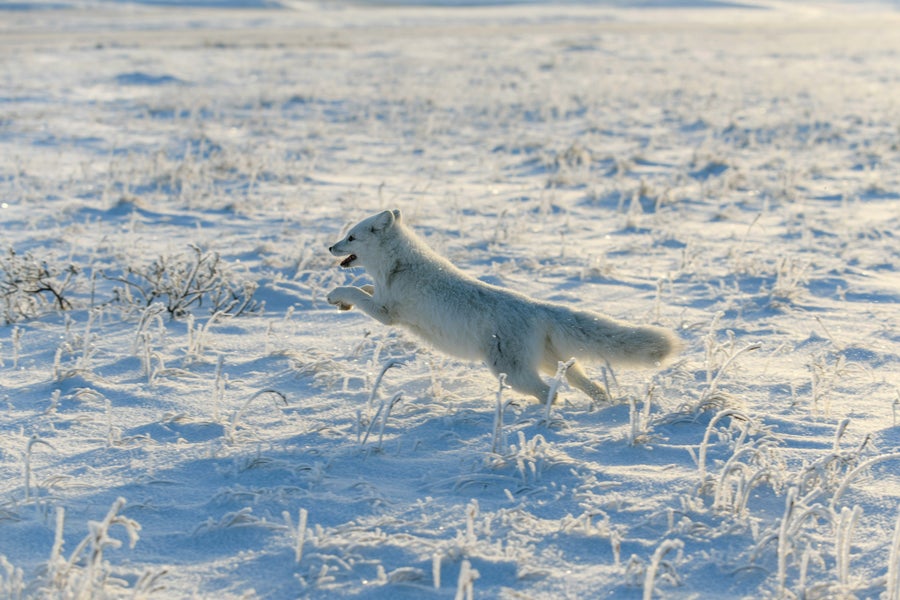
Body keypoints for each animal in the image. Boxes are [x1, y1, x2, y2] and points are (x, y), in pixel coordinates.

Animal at [327, 209, 681, 404]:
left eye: (351, 237)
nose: (330, 246)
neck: (398, 265)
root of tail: (538, 307)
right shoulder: (382, 299)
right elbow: (364, 288)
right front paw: (343, 303)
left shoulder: (387, 314)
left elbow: (355, 289)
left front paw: (334, 295)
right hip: (549, 361)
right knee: (581, 381)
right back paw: (603, 403)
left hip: (511, 372)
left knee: (550, 392)